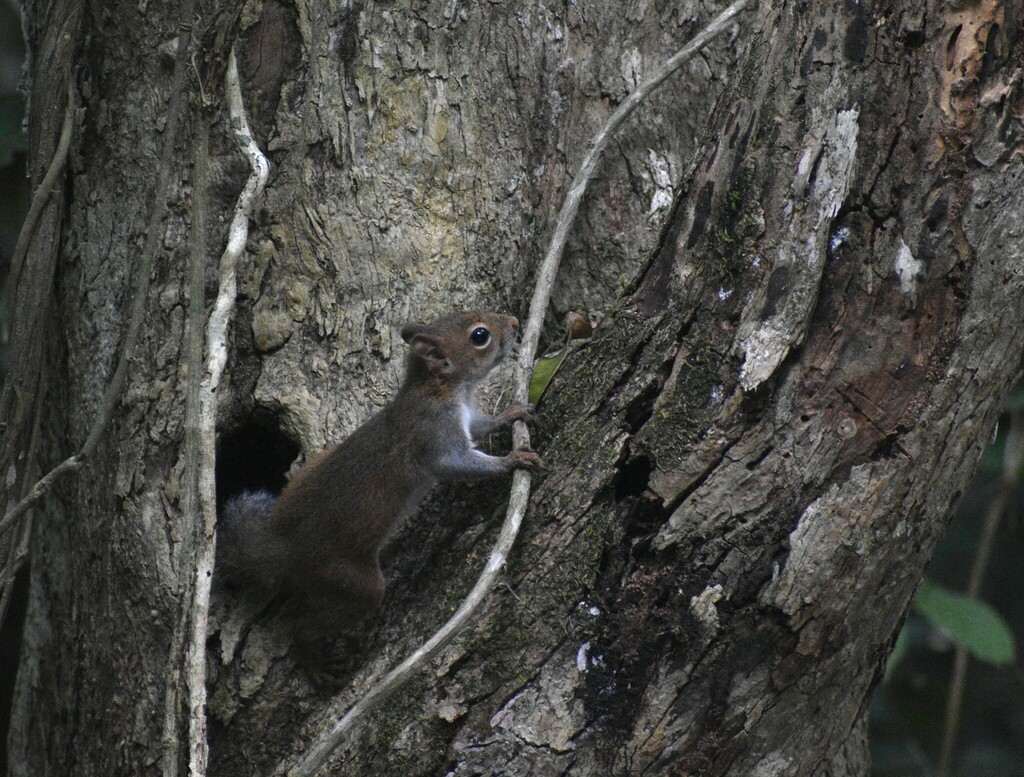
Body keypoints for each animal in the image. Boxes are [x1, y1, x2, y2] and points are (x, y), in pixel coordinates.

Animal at [216, 310, 541, 680]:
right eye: (480, 336)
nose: (515, 323)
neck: (441, 387)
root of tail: (286, 546)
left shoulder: (466, 421)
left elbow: (482, 425)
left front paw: (512, 414)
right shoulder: (434, 432)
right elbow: (454, 465)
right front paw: (512, 460)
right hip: (346, 578)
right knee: (301, 624)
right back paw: (314, 661)